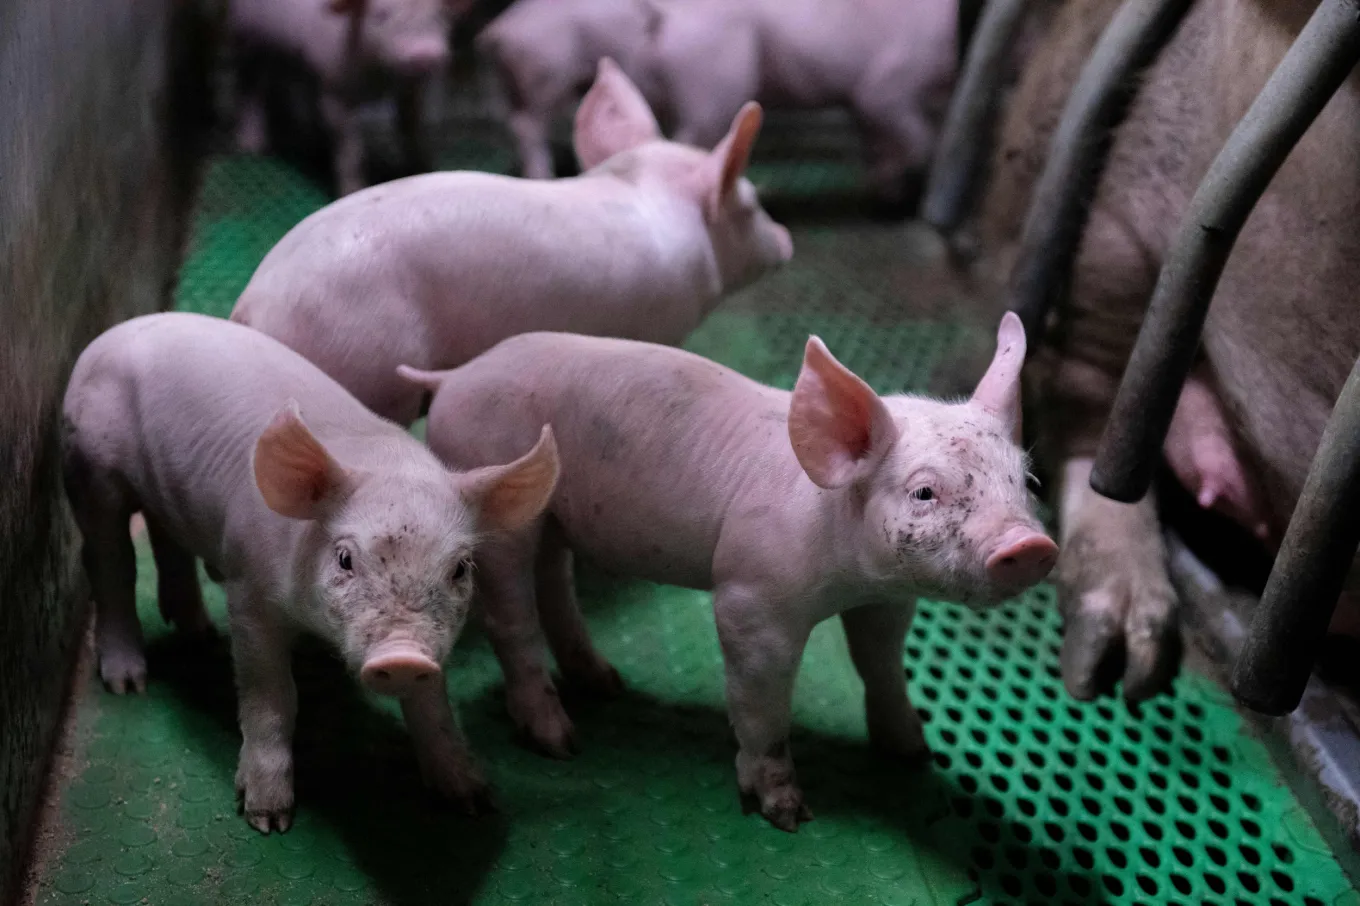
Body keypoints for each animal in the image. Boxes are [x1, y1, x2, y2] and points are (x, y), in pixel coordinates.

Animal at [61, 312, 559, 832]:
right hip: (89, 466)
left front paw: (473, 800)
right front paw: (267, 819)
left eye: (460, 568)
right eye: (344, 558)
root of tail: (120, 330)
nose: (403, 655)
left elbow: (434, 706)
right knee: (109, 559)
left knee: (164, 537)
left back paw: (199, 633)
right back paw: (128, 684)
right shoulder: (248, 590)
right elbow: (272, 697)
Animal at [229, 0, 467, 196]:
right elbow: (350, 147)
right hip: (245, 38)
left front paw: (424, 170)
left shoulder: (410, 90)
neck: (381, 79)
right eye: (381, 14)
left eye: (441, 14)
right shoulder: (335, 91)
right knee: (249, 87)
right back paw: (252, 148)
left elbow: (412, 127)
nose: (425, 53)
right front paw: (352, 191)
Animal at [399, 313, 1057, 831]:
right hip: (498, 507)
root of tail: (453, 377)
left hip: (555, 520)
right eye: (924, 491)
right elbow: (761, 703)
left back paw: (607, 684)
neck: (847, 575)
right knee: (510, 618)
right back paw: (561, 744)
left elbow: (880, 663)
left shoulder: (885, 598)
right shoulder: (751, 598)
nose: (1030, 545)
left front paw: (915, 752)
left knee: (554, 586)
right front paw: (788, 814)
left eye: (1026, 480)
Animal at [647, 0, 958, 208]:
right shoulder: (893, 80)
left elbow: (875, 143)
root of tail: (662, 14)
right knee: (689, 138)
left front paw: (883, 192)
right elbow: (918, 136)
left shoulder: (863, 109)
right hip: (715, 83)